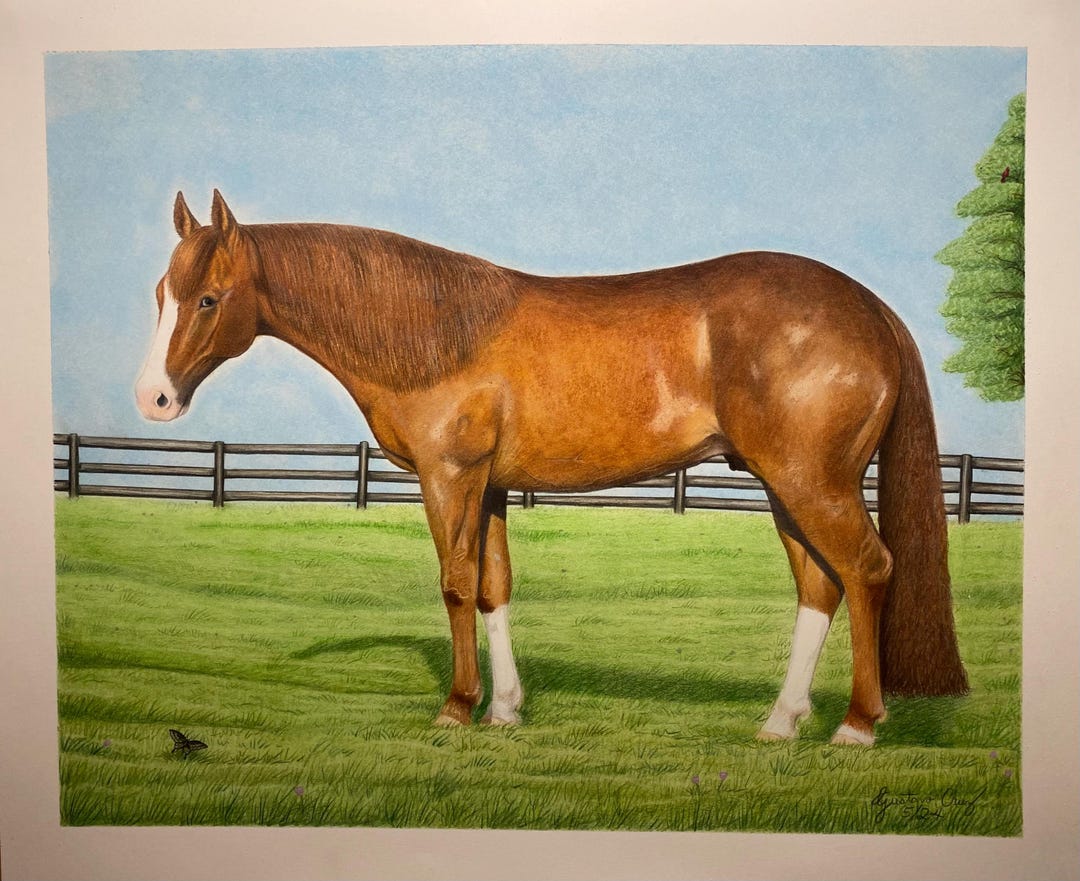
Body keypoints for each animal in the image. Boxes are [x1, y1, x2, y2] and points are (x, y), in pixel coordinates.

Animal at [135, 190, 968, 746]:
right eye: (162, 293)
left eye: (209, 298)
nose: (154, 397)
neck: (438, 333)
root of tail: (870, 308)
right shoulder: (492, 485)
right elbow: (495, 587)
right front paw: (505, 708)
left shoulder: (450, 477)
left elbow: (455, 584)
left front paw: (456, 707)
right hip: (783, 486)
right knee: (819, 586)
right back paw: (781, 721)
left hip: (811, 481)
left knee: (866, 568)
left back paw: (857, 724)